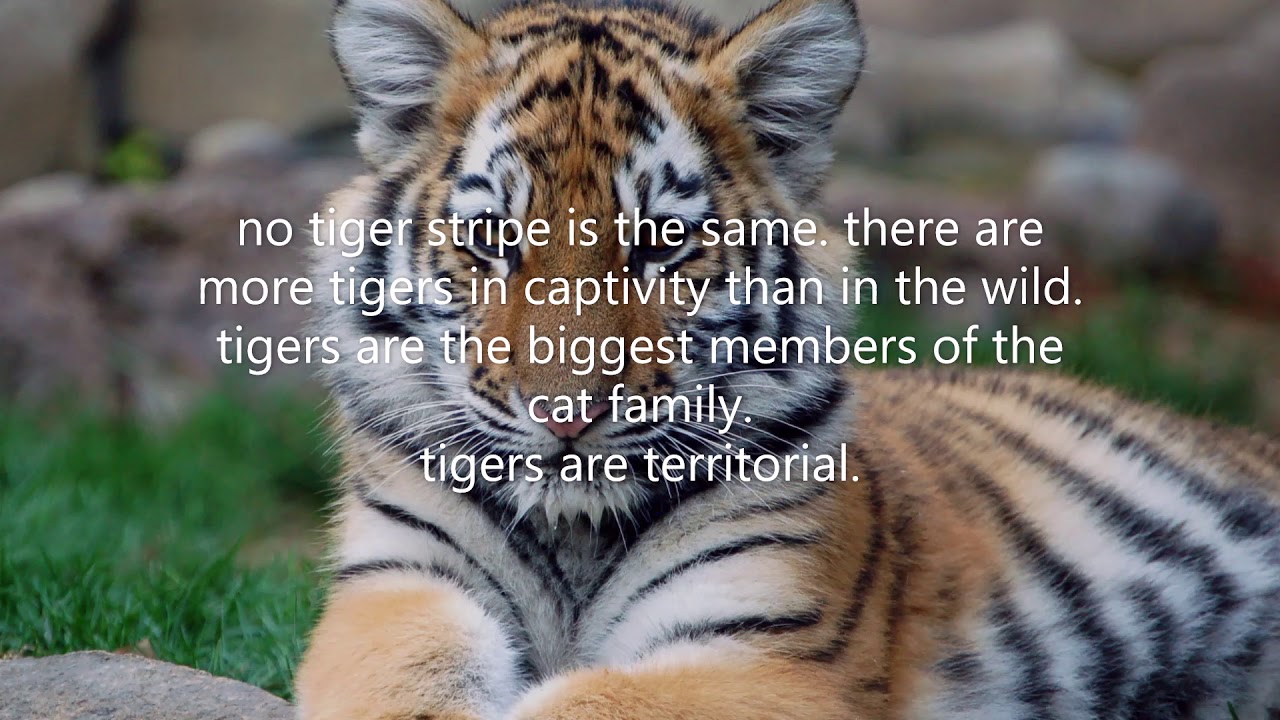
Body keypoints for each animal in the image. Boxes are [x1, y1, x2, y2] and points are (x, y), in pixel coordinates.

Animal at [294, 0, 1280, 718]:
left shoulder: (767, 645)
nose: (565, 416)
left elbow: (589, 701)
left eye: (660, 246)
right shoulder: (399, 587)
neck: (576, 530)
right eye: (496, 240)